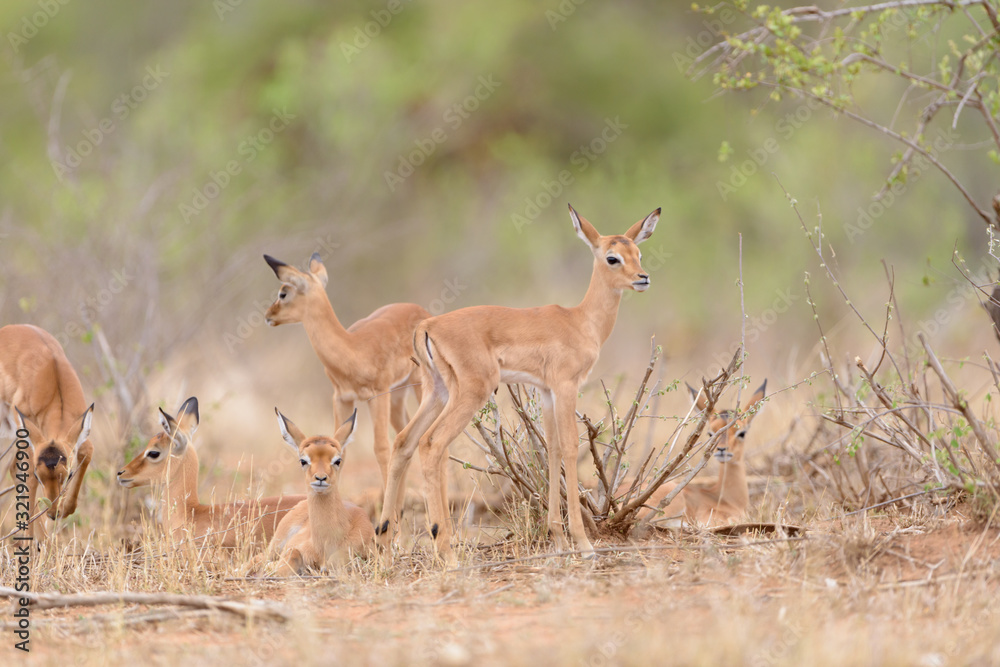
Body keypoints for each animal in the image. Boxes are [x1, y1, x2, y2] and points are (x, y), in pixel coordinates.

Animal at [0, 324, 95, 541]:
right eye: (39, 474)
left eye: (69, 475)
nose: (53, 513)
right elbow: (27, 476)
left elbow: (87, 451)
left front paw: (67, 508)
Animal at [263, 253, 430, 489]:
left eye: (283, 293)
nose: (269, 314)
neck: (353, 349)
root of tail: (421, 310)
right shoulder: (342, 398)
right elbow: (340, 446)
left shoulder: (378, 395)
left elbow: (381, 447)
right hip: (398, 394)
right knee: (405, 437)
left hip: (419, 385)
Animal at [263, 408, 374, 575]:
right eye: (303, 460)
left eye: (337, 460)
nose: (320, 478)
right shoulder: (293, 548)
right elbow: (291, 556)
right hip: (275, 545)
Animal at [376, 204, 660, 564]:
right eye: (613, 257)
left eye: (638, 252)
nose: (643, 278)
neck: (580, 322)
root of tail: (428, 325)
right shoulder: (566, 386)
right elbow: (570, 447)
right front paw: (583, 544)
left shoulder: (547, 391)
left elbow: (552, 450)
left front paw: (558, 538)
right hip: (471, 392)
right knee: (432, 444)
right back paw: (446, 551)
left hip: (436, 392)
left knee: (403, 442)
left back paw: (385, 542)